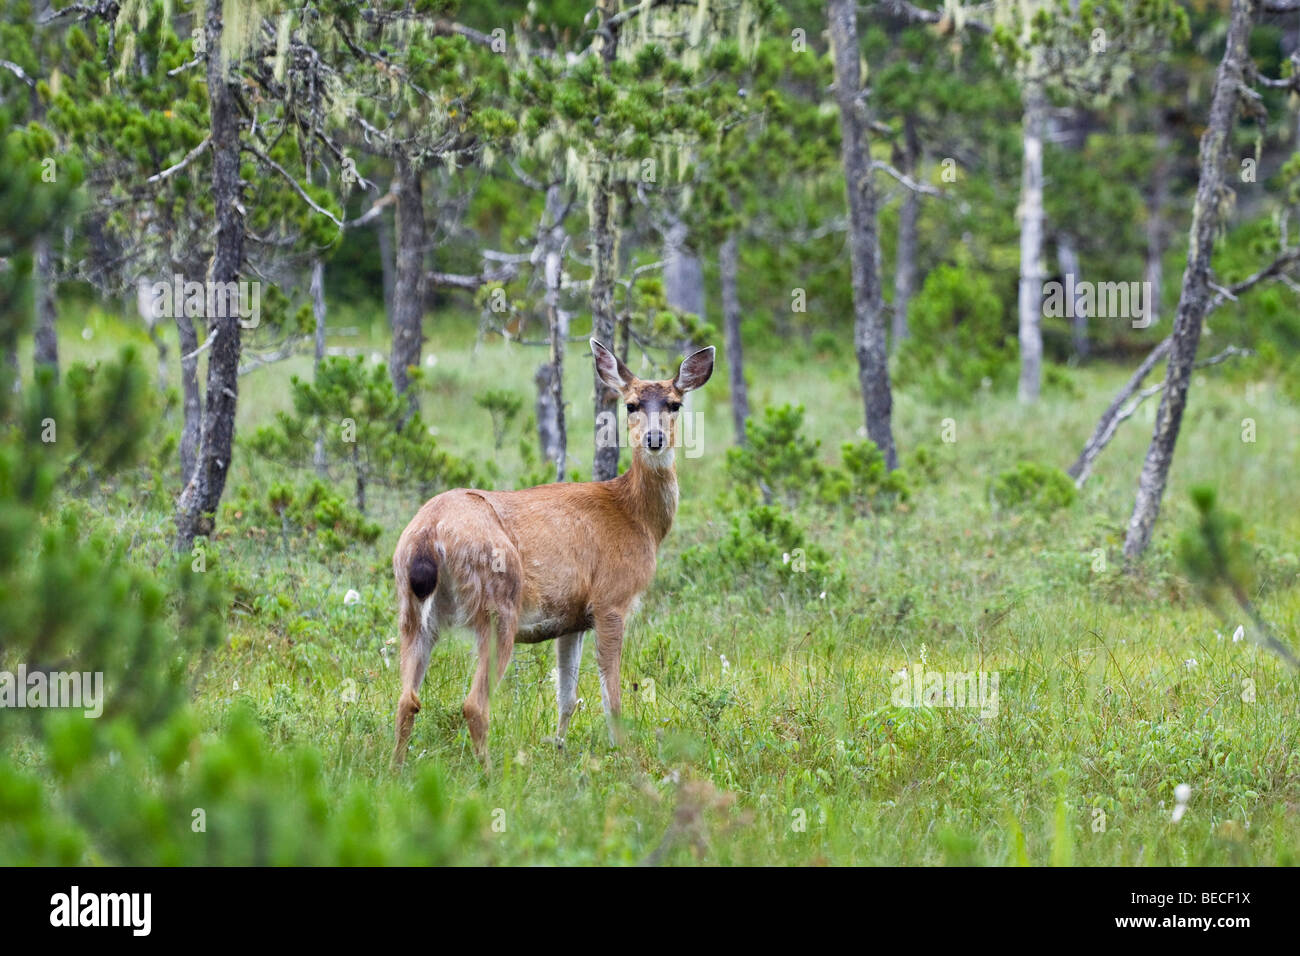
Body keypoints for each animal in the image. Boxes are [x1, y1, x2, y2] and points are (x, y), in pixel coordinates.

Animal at [391, 339, 714, 767]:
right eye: (630, 404)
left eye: (675, 404)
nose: (655, 439)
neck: (635, 515)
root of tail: (430, 531)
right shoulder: (611, 600)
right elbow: (611, 698)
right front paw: (624, 755)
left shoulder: (573, 618)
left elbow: (568, 697)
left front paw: (559, 747)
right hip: (498, 603)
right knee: (474, 704)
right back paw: (488, 772)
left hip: (411, 607)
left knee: (406, 699)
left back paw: (395, 769)